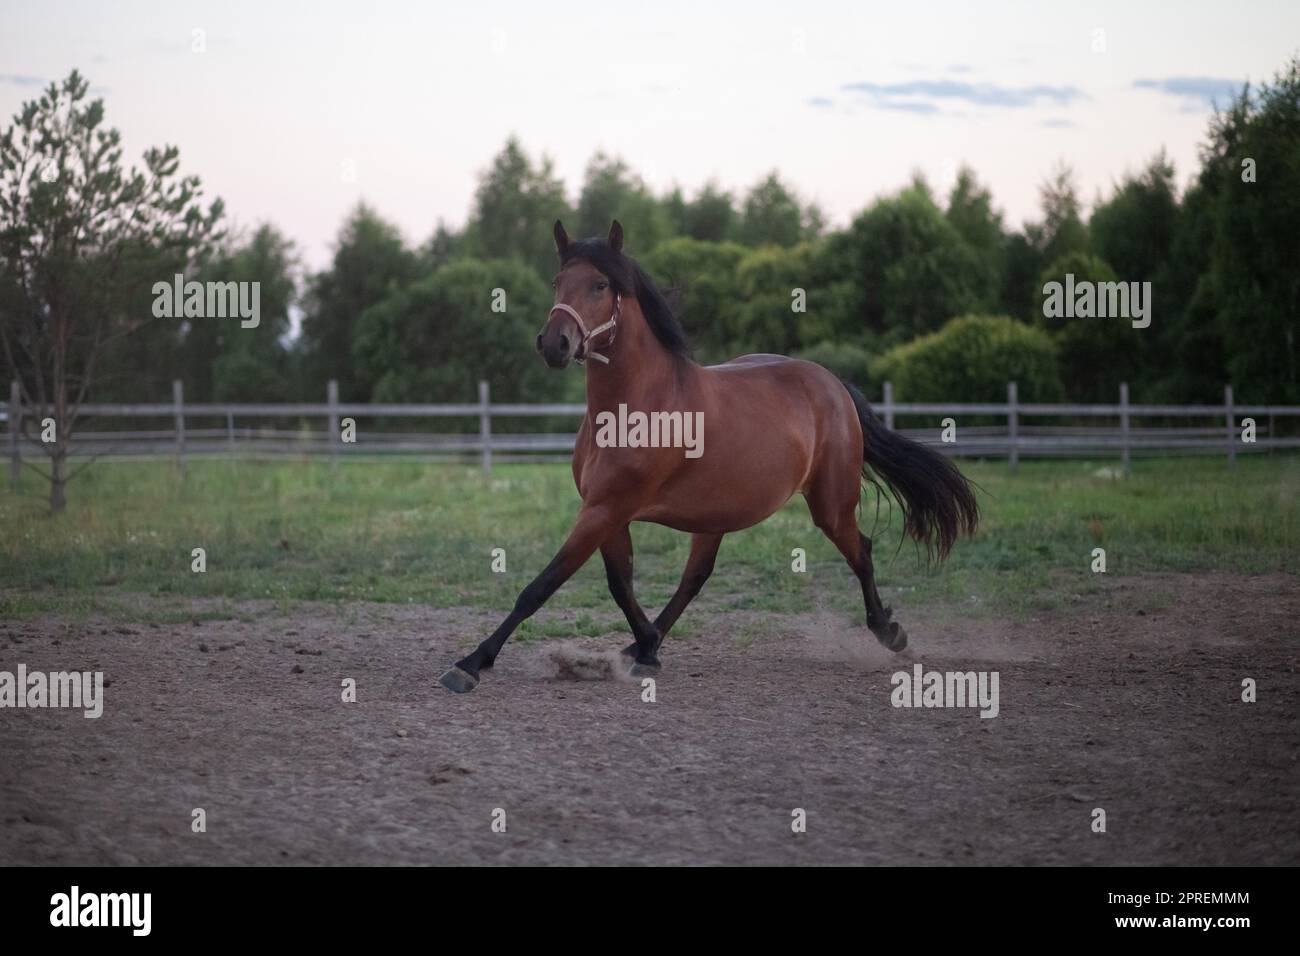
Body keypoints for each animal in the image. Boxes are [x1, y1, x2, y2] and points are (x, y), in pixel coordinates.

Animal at [438, 220, 979, 693]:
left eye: (599, 284)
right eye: (557, 281)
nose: (554, 344)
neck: (637, 405)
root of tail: (831, 382)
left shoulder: (605, 508)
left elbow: (542, 585)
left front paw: (470, 665)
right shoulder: (607, 510)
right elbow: (619, 583)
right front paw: (644, 645)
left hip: (829, 503)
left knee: (860, 550)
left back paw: (889, 631)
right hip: (717, 514)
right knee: (695, 578)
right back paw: (645, 649)